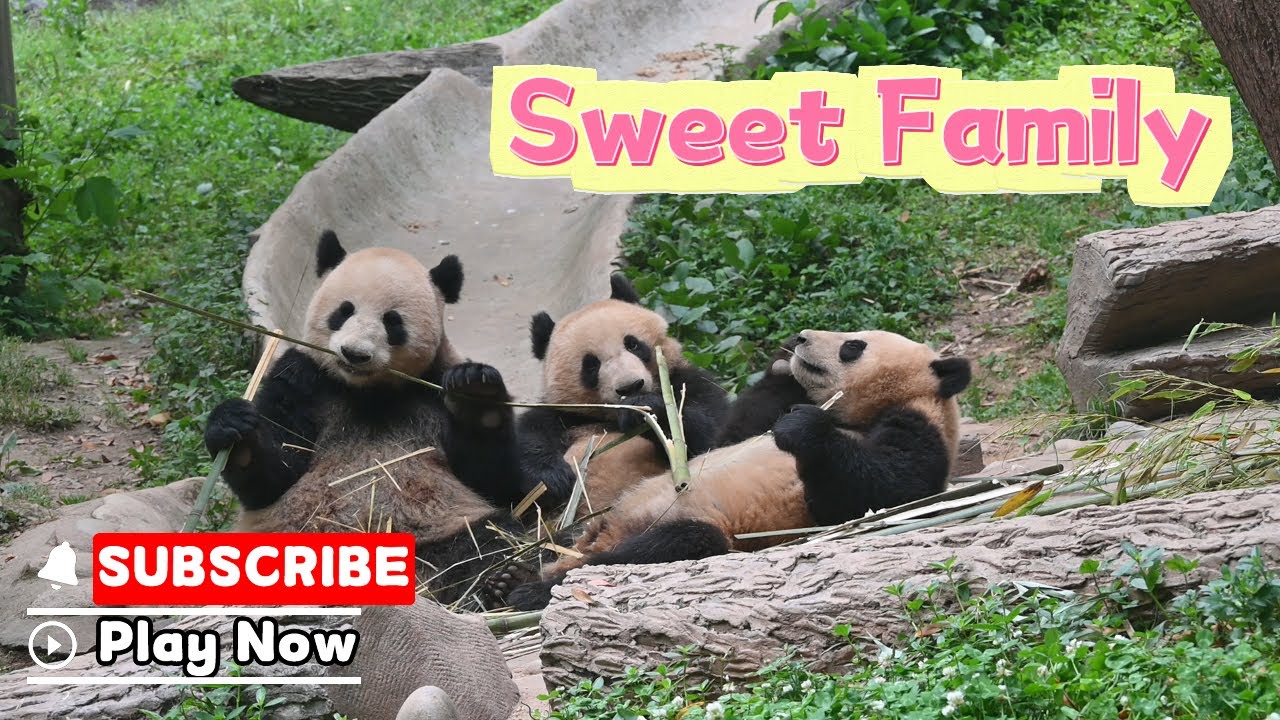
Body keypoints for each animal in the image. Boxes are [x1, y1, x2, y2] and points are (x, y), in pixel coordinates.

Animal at [203, 229, 526, 609]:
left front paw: (477, 392)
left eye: (393, 321)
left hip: (439, 525)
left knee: (487, 540)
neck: (368, 391)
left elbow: (494, 480)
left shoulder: (433, 384)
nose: (354, 354)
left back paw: (501, 580)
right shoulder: (303, 379)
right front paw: (234, 431)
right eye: (343, 312)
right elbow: (276, 475)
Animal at [504, 328, 972, 610]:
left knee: (662, 547)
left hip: (695, 530)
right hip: (599, 521)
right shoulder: (743, 425)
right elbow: (719, 435)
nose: (801, 337)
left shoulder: (919, 431)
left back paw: (529, 590)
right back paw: (510, 574)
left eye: (852, 346)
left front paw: (803, 428)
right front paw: (780, 368)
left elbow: (873, 492)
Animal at [514, 273, 730, 519]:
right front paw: (551, 478)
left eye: (633, 344)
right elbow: (530, 436)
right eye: (591, 364)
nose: (630, 387)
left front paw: (643, 409)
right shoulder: (566, 414)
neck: (609, 417)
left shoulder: (690, 382)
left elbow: (705, 434)